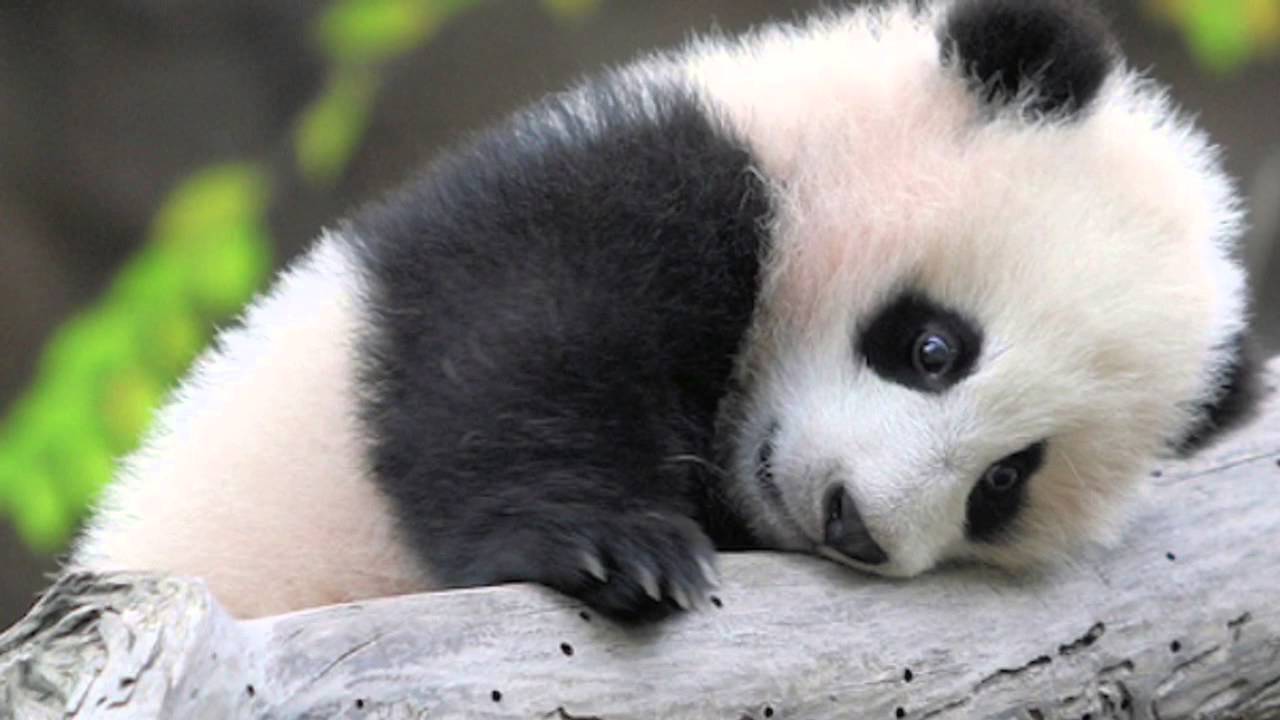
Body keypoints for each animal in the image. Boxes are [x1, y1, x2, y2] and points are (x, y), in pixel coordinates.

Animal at [69, 0, 1258, 623]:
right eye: (932, 347)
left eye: (1007, 482)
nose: (854, 525)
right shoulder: (653, 170)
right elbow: (515, 339)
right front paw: (610, 544)